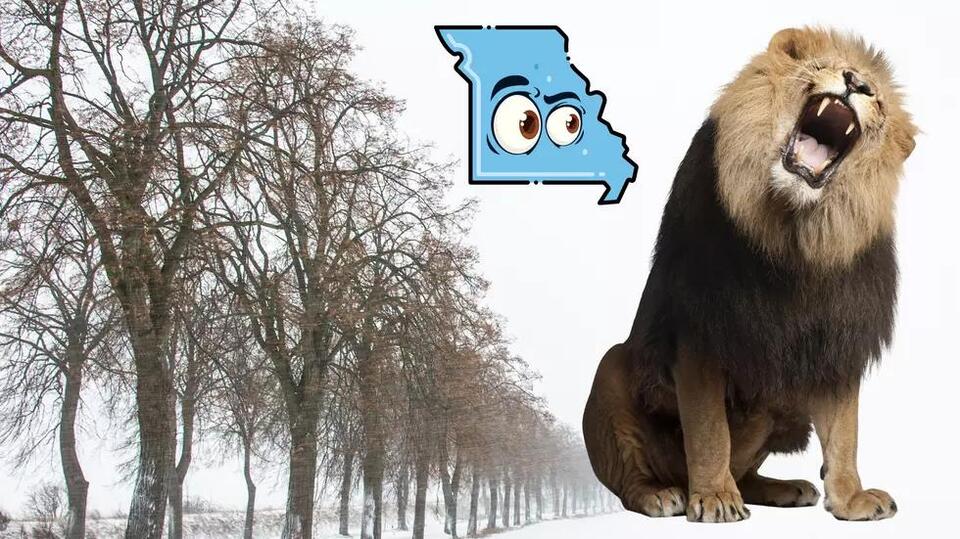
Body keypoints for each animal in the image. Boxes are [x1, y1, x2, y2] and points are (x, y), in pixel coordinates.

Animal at [582, 27, 917, 523]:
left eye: (876, 97)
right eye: (824, 66)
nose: (856, 83)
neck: (794, 232)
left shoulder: (836, 343)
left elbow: (845, 434)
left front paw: (851, 499)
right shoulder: (700, 333)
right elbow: (709, 431)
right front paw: (715, 497)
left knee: (749, 471)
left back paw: (786, 488)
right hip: (611, 369)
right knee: (630, 482)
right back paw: (662, 494)